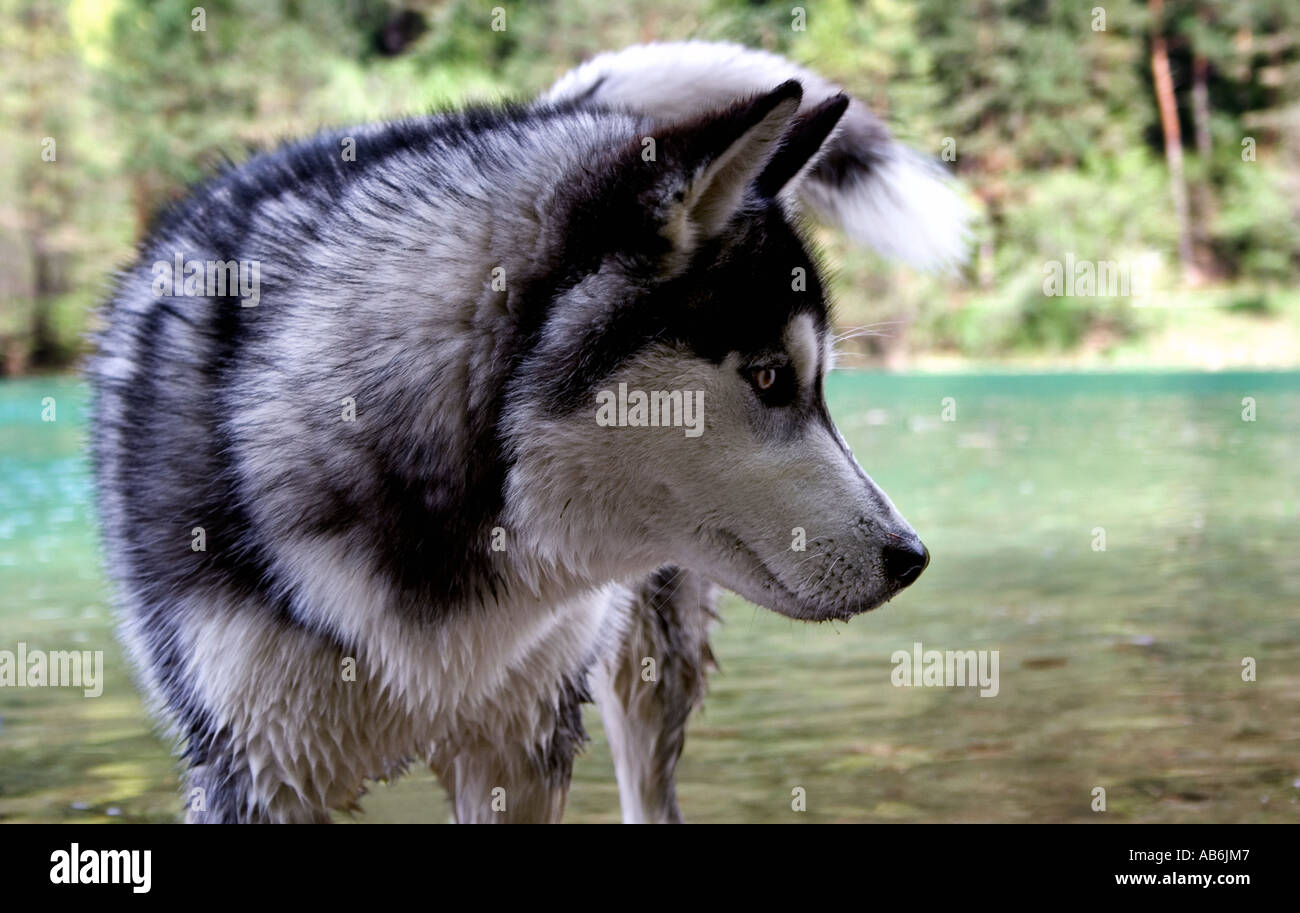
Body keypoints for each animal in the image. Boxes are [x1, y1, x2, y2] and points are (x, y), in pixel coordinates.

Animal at [89, 41, 966, 823]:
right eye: (771, 378)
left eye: (812, 384)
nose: (913, 557)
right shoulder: (256, 770)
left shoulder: (523, 743)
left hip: (644, 668)